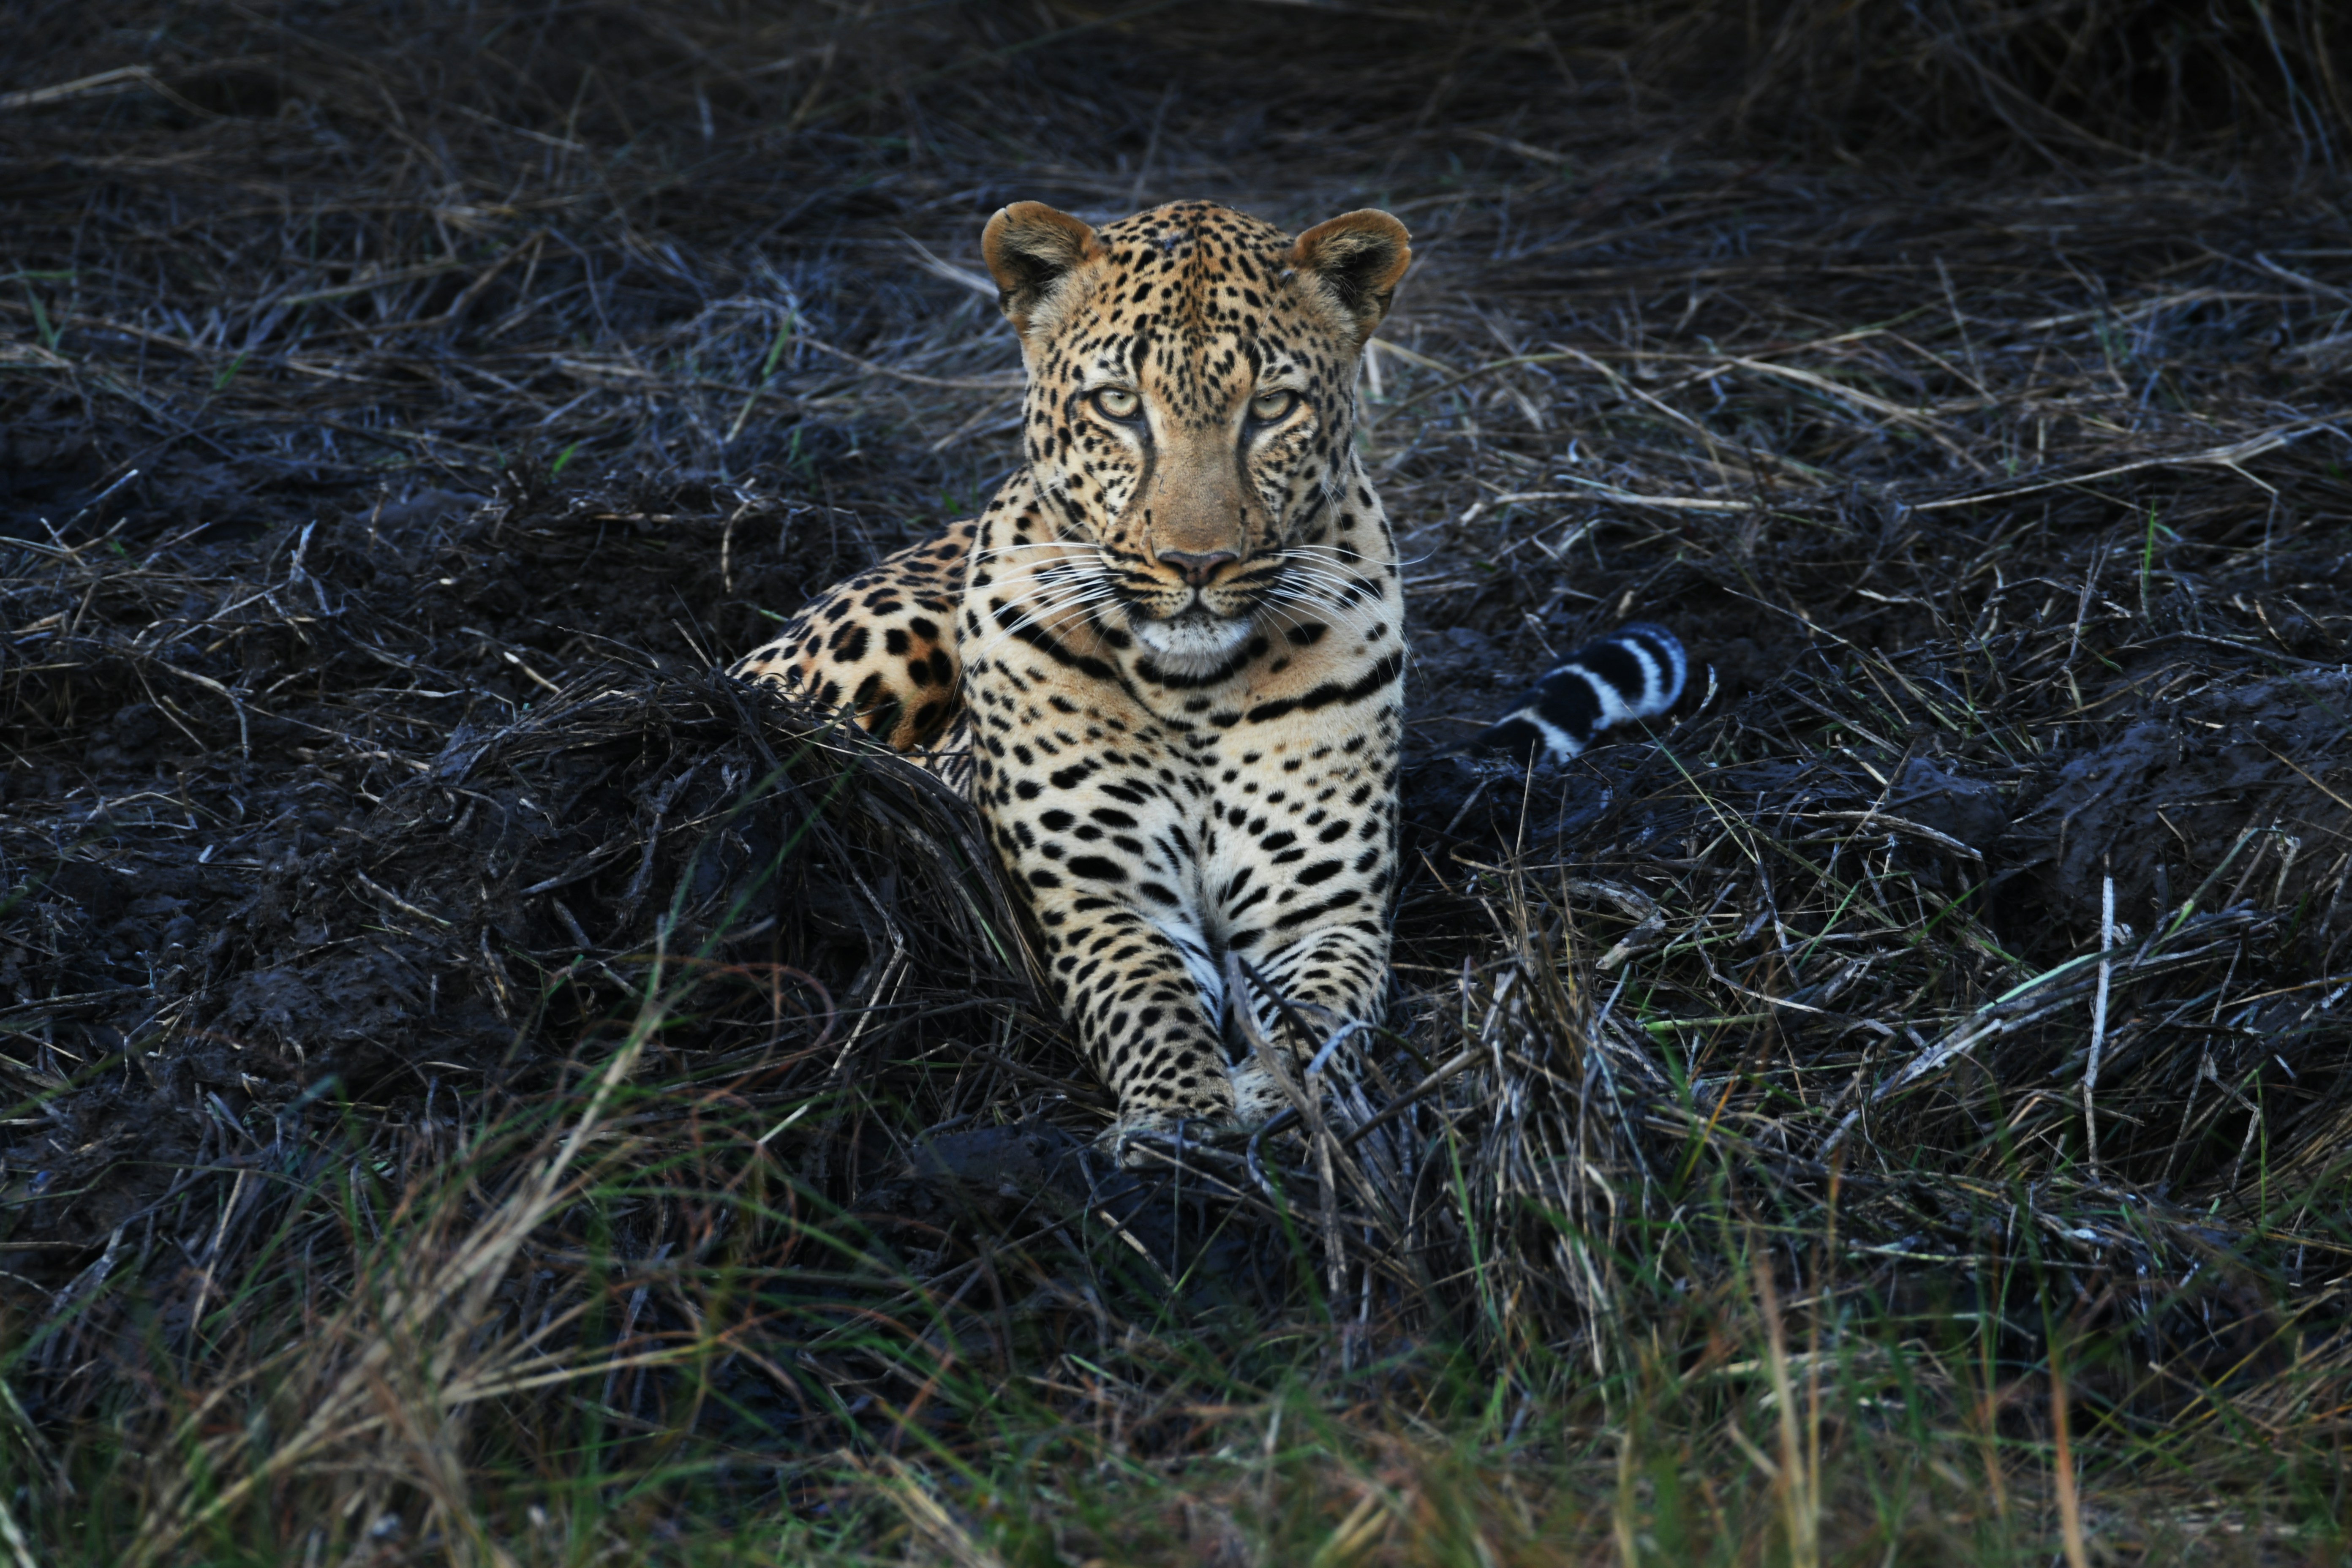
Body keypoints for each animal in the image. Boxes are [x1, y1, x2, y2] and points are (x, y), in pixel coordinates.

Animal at [732, 197, 1688, 1146]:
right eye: (1118, 404)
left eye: (1272, 407)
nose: (1196, 563)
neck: (1187, 688)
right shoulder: (1103, 901)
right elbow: (1145, 1000)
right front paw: (1177, 1123)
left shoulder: (1319, 910)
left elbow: (1317, 1016)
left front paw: (1284, 1106)